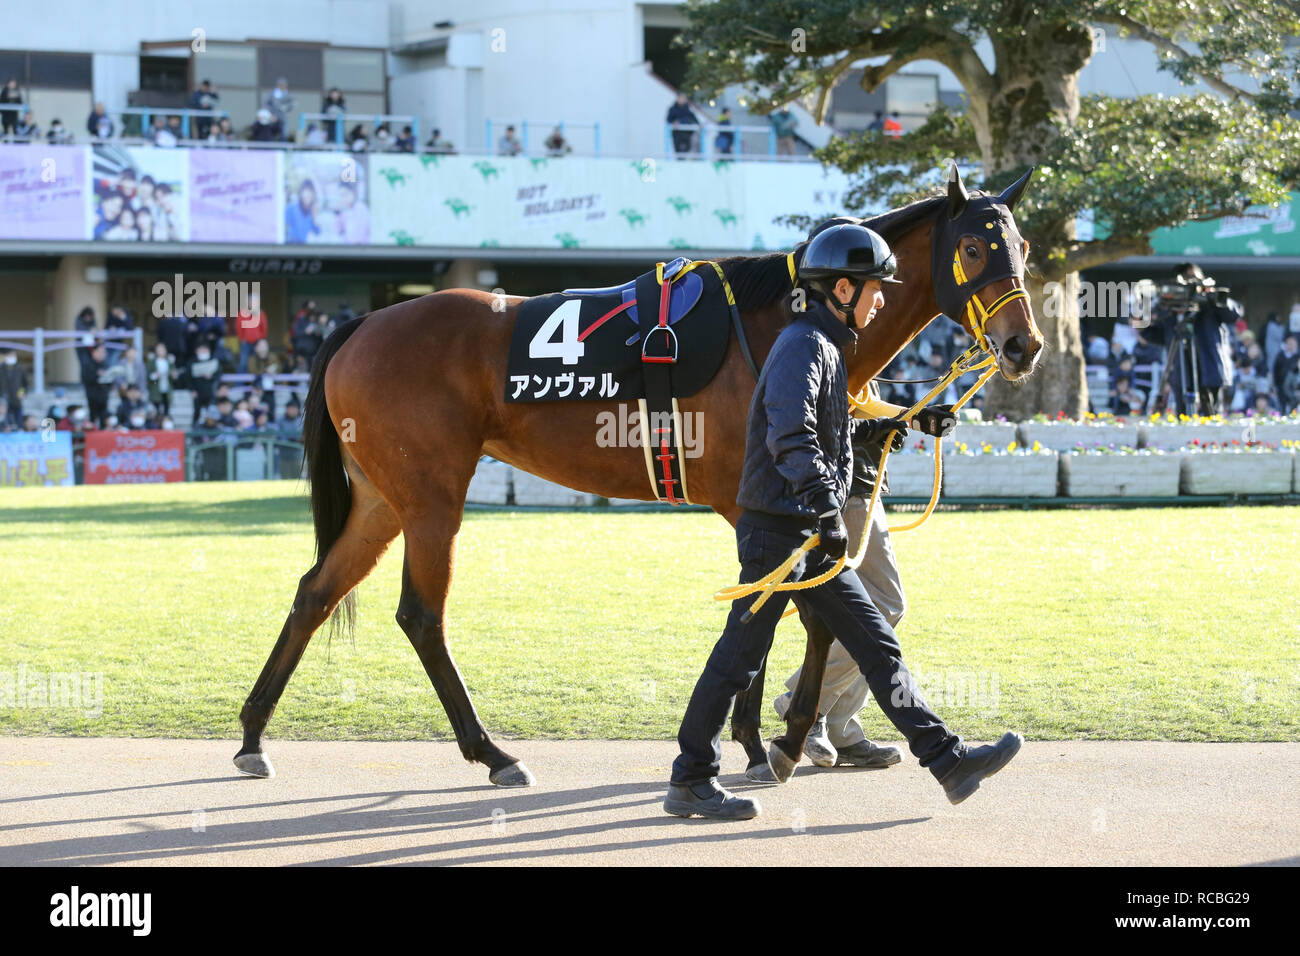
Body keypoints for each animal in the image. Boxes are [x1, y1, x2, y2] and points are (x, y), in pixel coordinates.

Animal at [233, 166, 1044, 787]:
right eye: (974, 245)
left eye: (1024, 246)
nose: (1024, 345)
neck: (781, 321)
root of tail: (362, 324)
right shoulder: (762, 504)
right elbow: (798, 611)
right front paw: (773, 742)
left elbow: (786, 612)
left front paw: (765, 739)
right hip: (432, 497)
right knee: (420, 616)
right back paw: (492, 752)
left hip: (381, 499)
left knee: (315, 591)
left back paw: (251, 736)